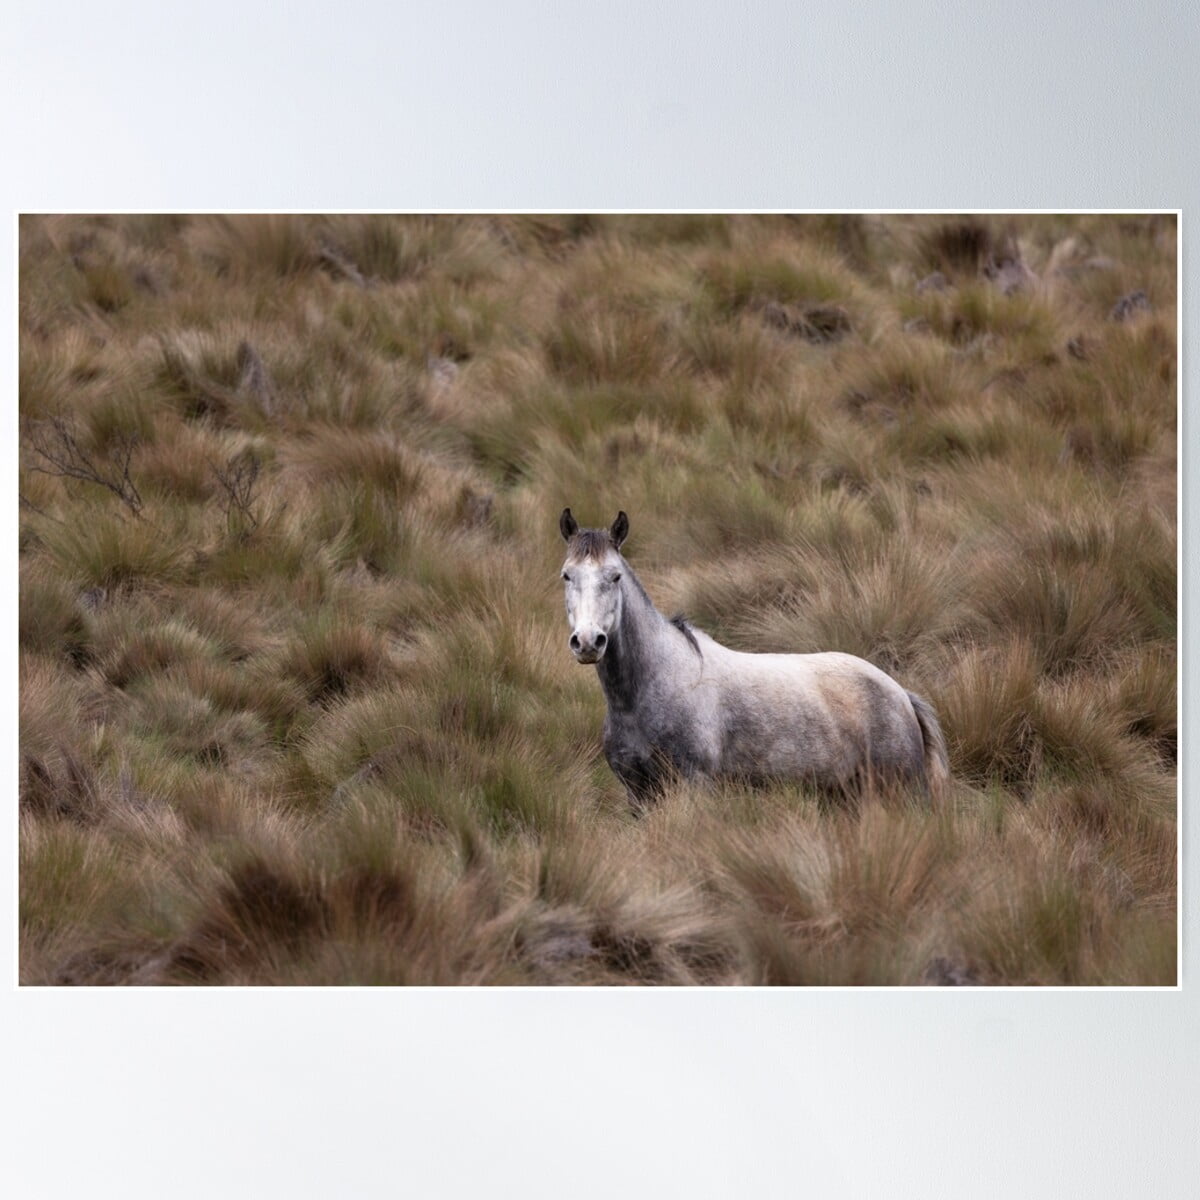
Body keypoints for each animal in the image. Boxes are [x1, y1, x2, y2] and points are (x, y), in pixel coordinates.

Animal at [558, 507, 949, 811]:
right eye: (567, 574)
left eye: (614, 576)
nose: (589, 642)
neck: (649, 689)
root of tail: (900, 694)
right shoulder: (638, 792)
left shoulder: (695, 785)